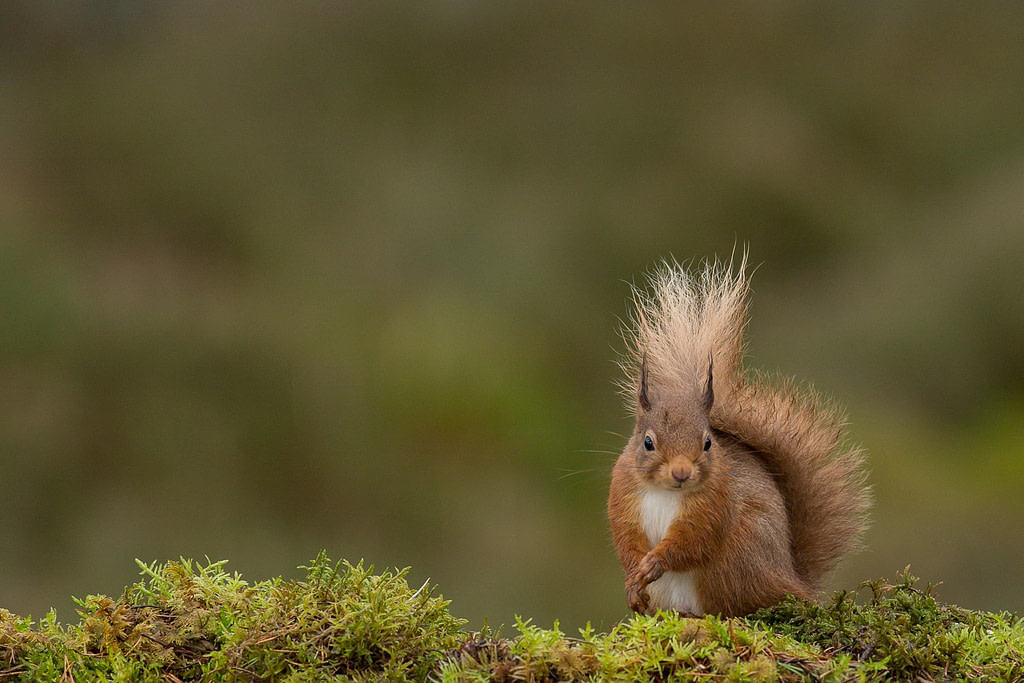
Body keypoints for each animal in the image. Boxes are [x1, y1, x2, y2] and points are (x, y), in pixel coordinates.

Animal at [607, 256, 871, 617]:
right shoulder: (623, 497)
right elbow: (627, 541)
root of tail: (790, 579)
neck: (665, 492)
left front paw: (655, 563)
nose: (681, 473)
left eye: (707, 443)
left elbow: (692, 541)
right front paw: (634, 581)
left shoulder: (716, 504)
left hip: (733, 561)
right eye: (648, 443)